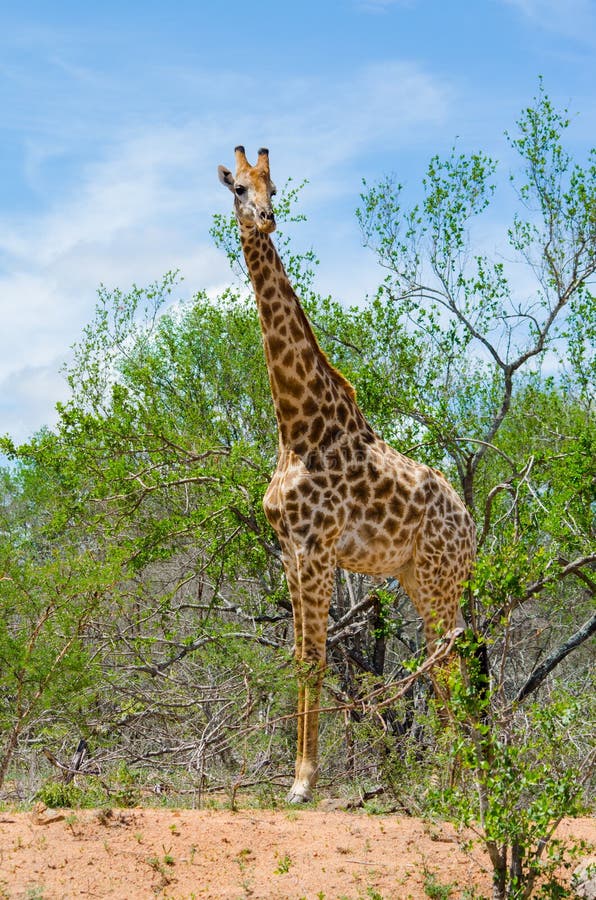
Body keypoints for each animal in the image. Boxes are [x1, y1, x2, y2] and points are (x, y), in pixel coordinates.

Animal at [218, 146, 476, 803]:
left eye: (275, 187)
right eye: (238, 188)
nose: (266, 219)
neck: (296, 424)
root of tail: (470, 530)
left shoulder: (317, 547)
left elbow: (316, 658)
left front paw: (304, 782)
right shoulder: (290, 549)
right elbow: (300, 656)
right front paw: (298, 775)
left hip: (438, 581)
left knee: (447, 663)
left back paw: (451, 784)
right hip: (419, 579)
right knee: (450, 661)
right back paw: (456, 776)